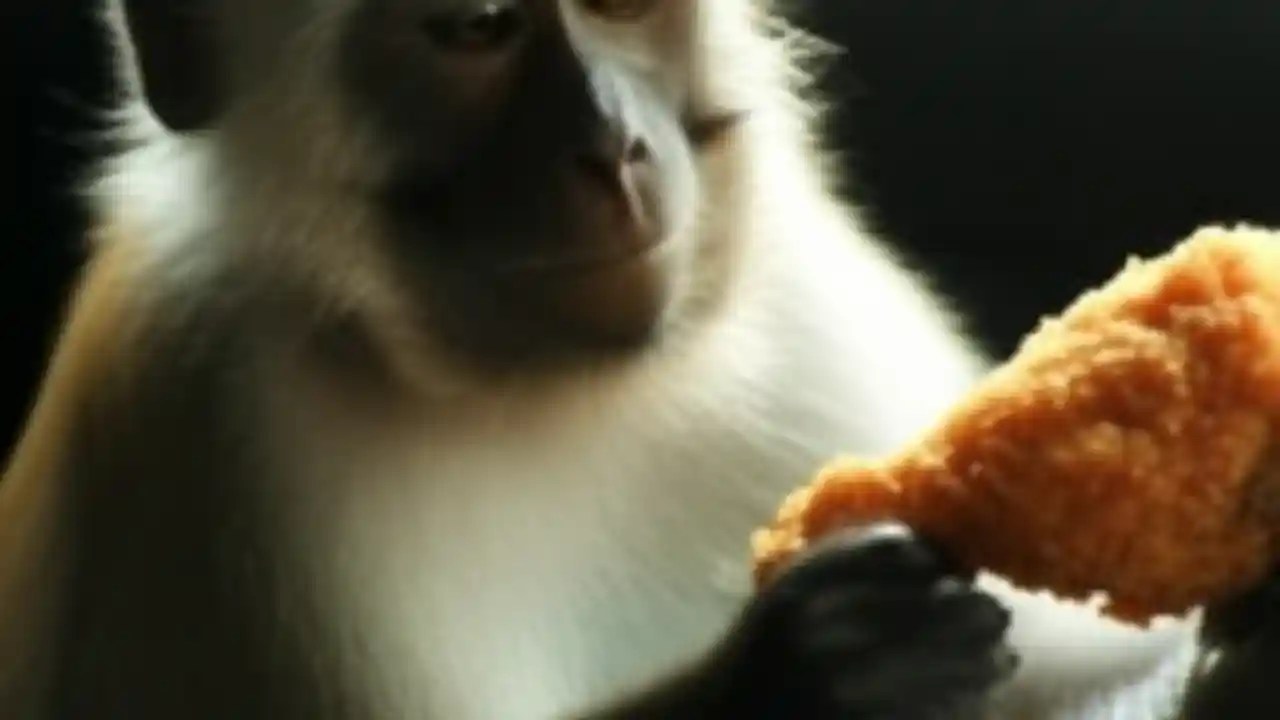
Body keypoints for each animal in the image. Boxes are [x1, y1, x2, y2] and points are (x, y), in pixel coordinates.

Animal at [0, 0, 1271, 718]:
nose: (612, 148)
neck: (546, 392)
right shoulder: (235, 448)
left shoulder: (800, 297)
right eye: (475, 27)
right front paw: (794, 674)